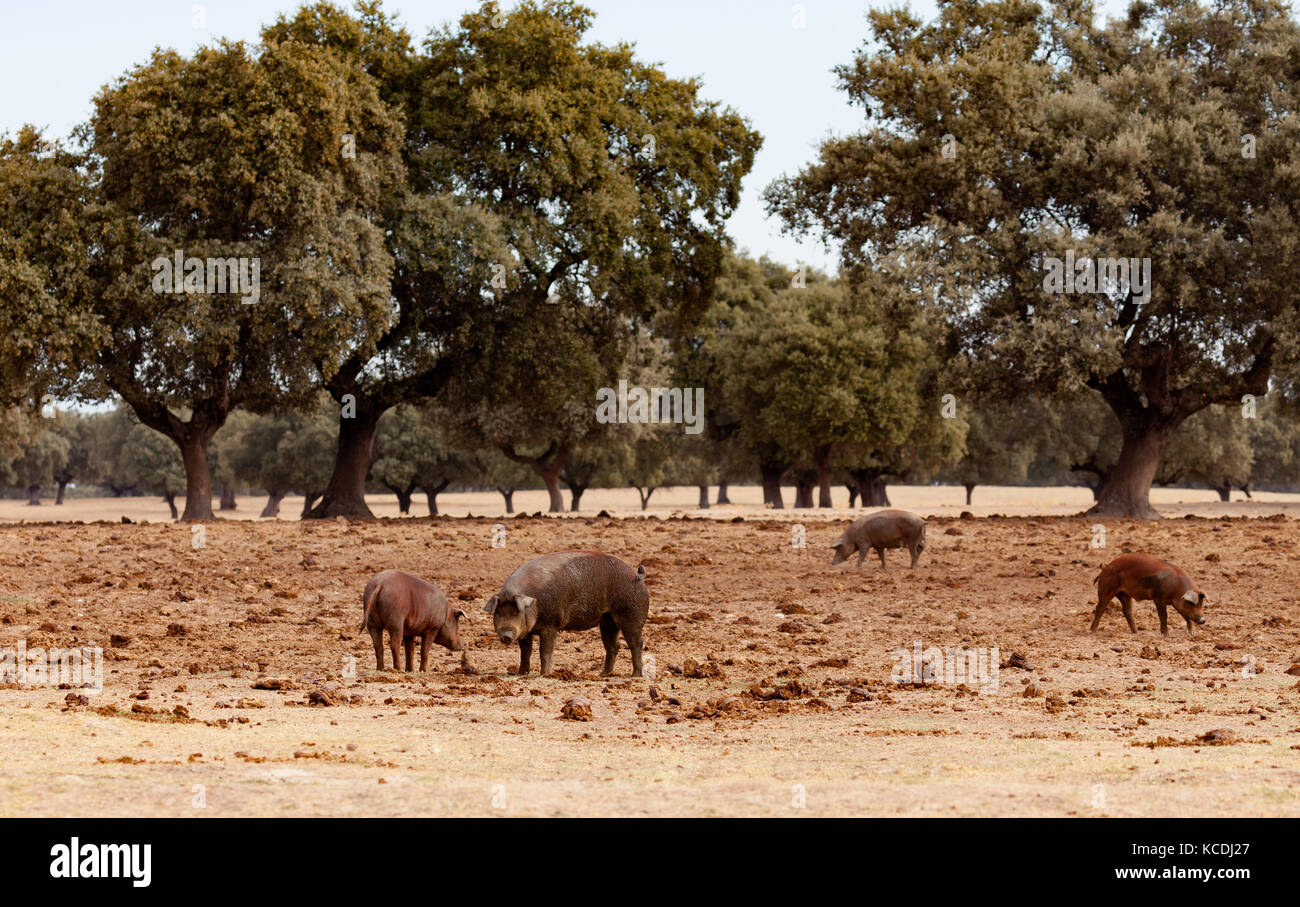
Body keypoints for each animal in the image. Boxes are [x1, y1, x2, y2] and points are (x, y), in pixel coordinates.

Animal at [484, 551, 648, 678]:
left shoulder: (551, 625)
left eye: (517, 612)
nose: (506, 635)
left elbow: (545, 651)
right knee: (614, 646)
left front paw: (544, 675)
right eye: (498, 612)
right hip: (607, 621)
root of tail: (636, 576)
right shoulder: (525, 632)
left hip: (632, 615)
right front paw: (520, 674)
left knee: (636, 643)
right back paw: (603, 675)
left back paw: (635, 676)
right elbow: (525, 652)